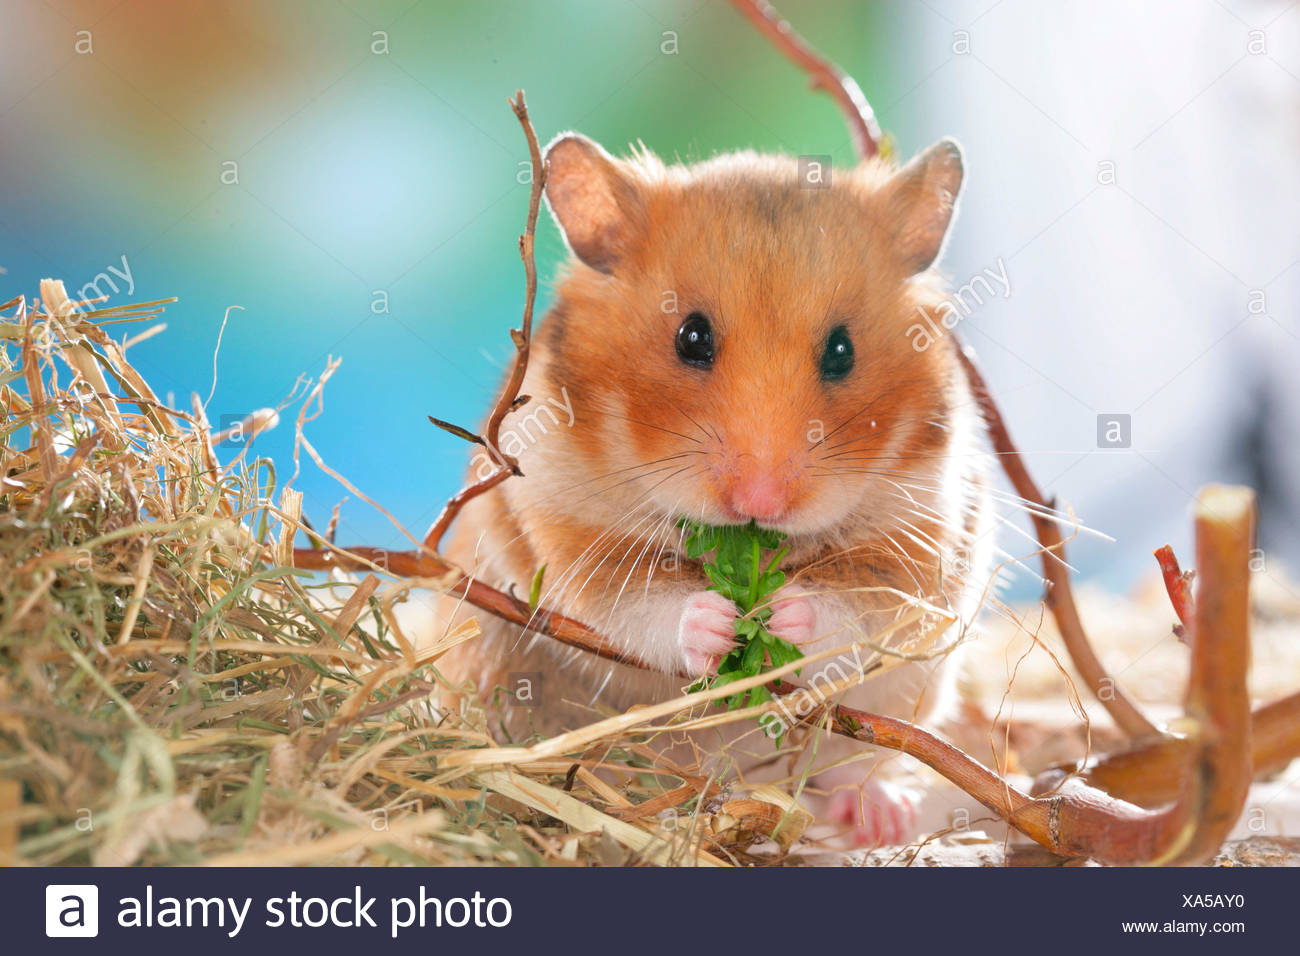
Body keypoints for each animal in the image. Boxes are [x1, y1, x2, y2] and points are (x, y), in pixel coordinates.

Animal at [435, 131, 993, 847]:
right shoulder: (565, 532)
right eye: (691, 336)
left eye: (842, 351)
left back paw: (877, 817)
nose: (760, 504)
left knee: (846, 765)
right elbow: (636, 605)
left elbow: (857, 609)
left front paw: (782, 611)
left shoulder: (923, 541)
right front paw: (720, 623)